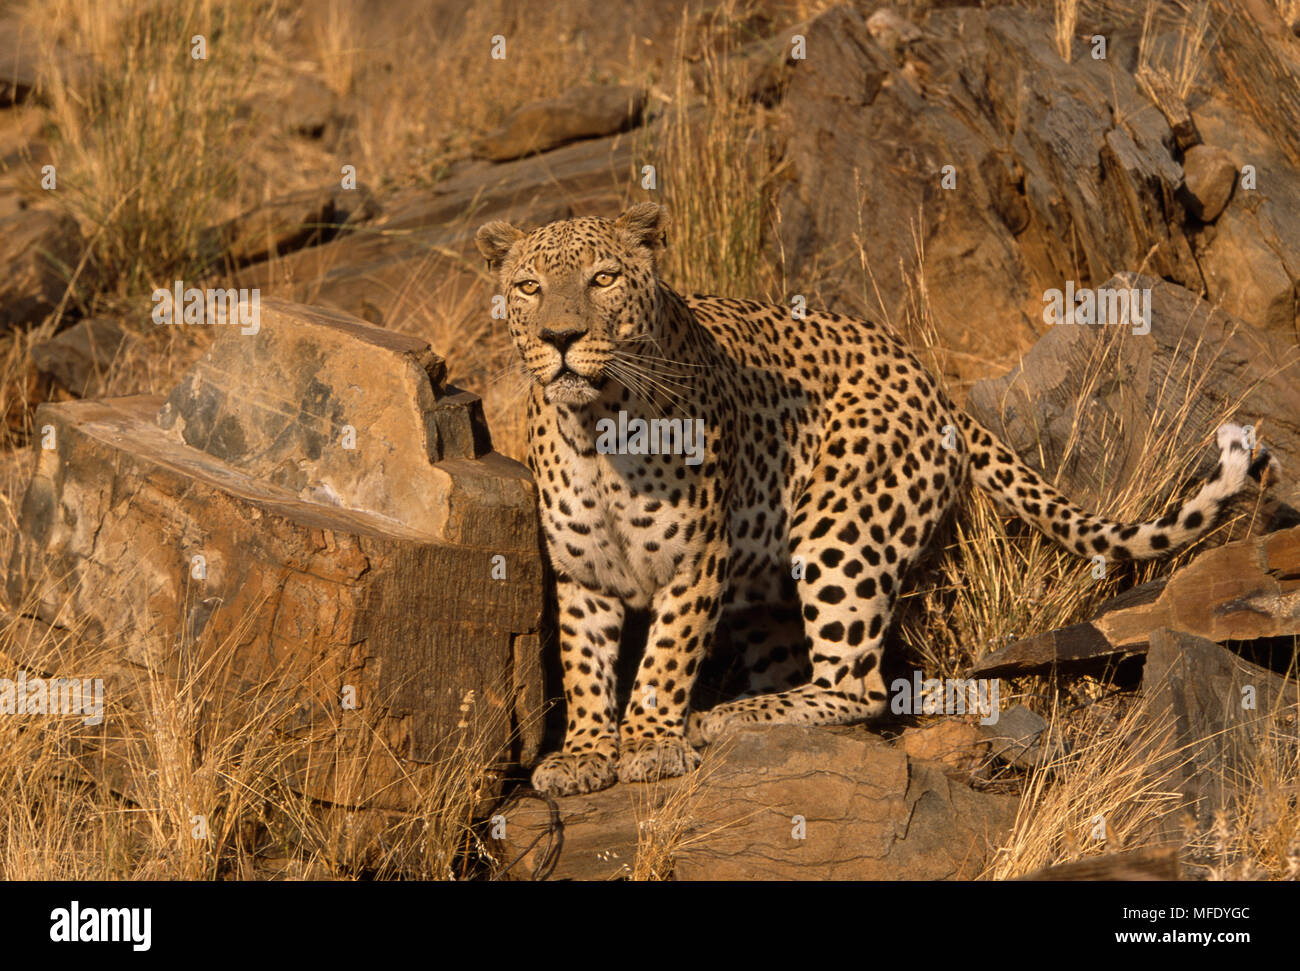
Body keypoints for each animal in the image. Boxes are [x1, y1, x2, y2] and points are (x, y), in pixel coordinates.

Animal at [475, 203, 1277, 797]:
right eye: (529, 287)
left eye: (604, 277)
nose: (561, 336)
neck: (595, 430)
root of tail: (929, 377)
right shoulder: (582, 571)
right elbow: (583, 663)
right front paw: (585, 751)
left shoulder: (695, 561)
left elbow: (666, 657)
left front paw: (648, 742)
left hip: (840, 527)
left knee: (859, 686)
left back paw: (730, 716)